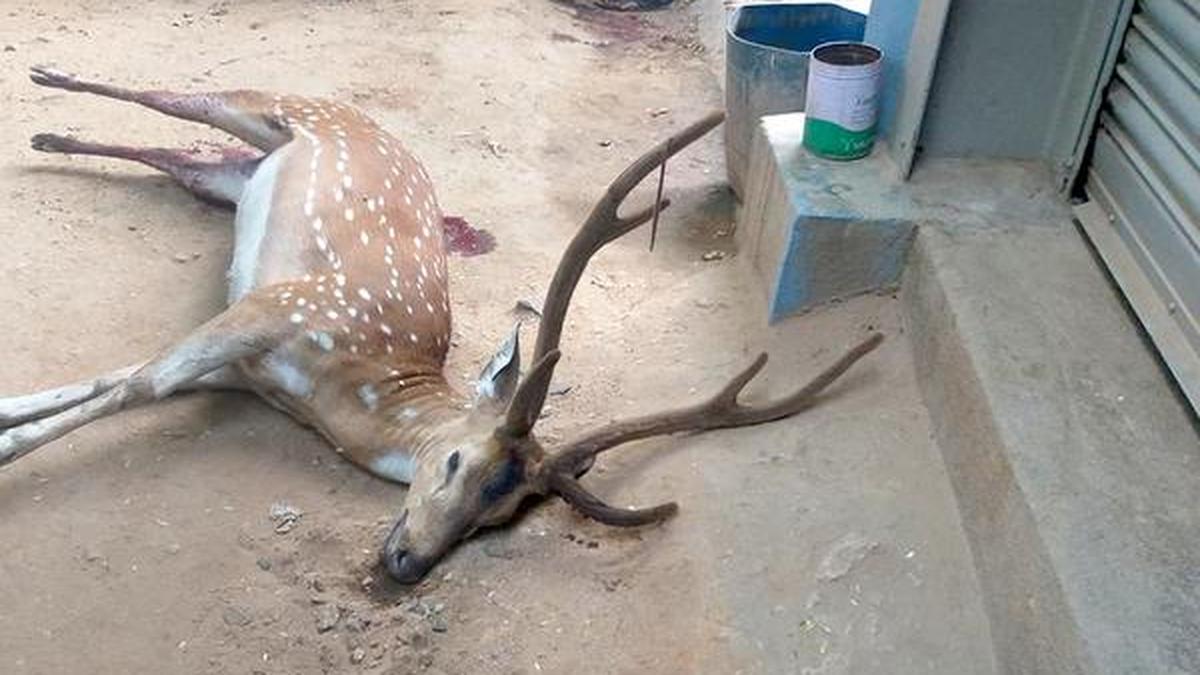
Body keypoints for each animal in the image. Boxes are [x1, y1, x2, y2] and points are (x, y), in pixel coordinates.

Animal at [1, 66, 884, 583]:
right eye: (458, 461)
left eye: (500, 517)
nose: (405, 562)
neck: (335, 392)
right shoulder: (275, 309)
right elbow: (136, 383)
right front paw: (9, 447)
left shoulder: (244, 368)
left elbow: (121, 376)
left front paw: (9, 413)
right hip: (275, 109)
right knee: (180, 94)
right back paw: (45, 82)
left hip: (236, 176)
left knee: (182, 158)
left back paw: (48, 131)